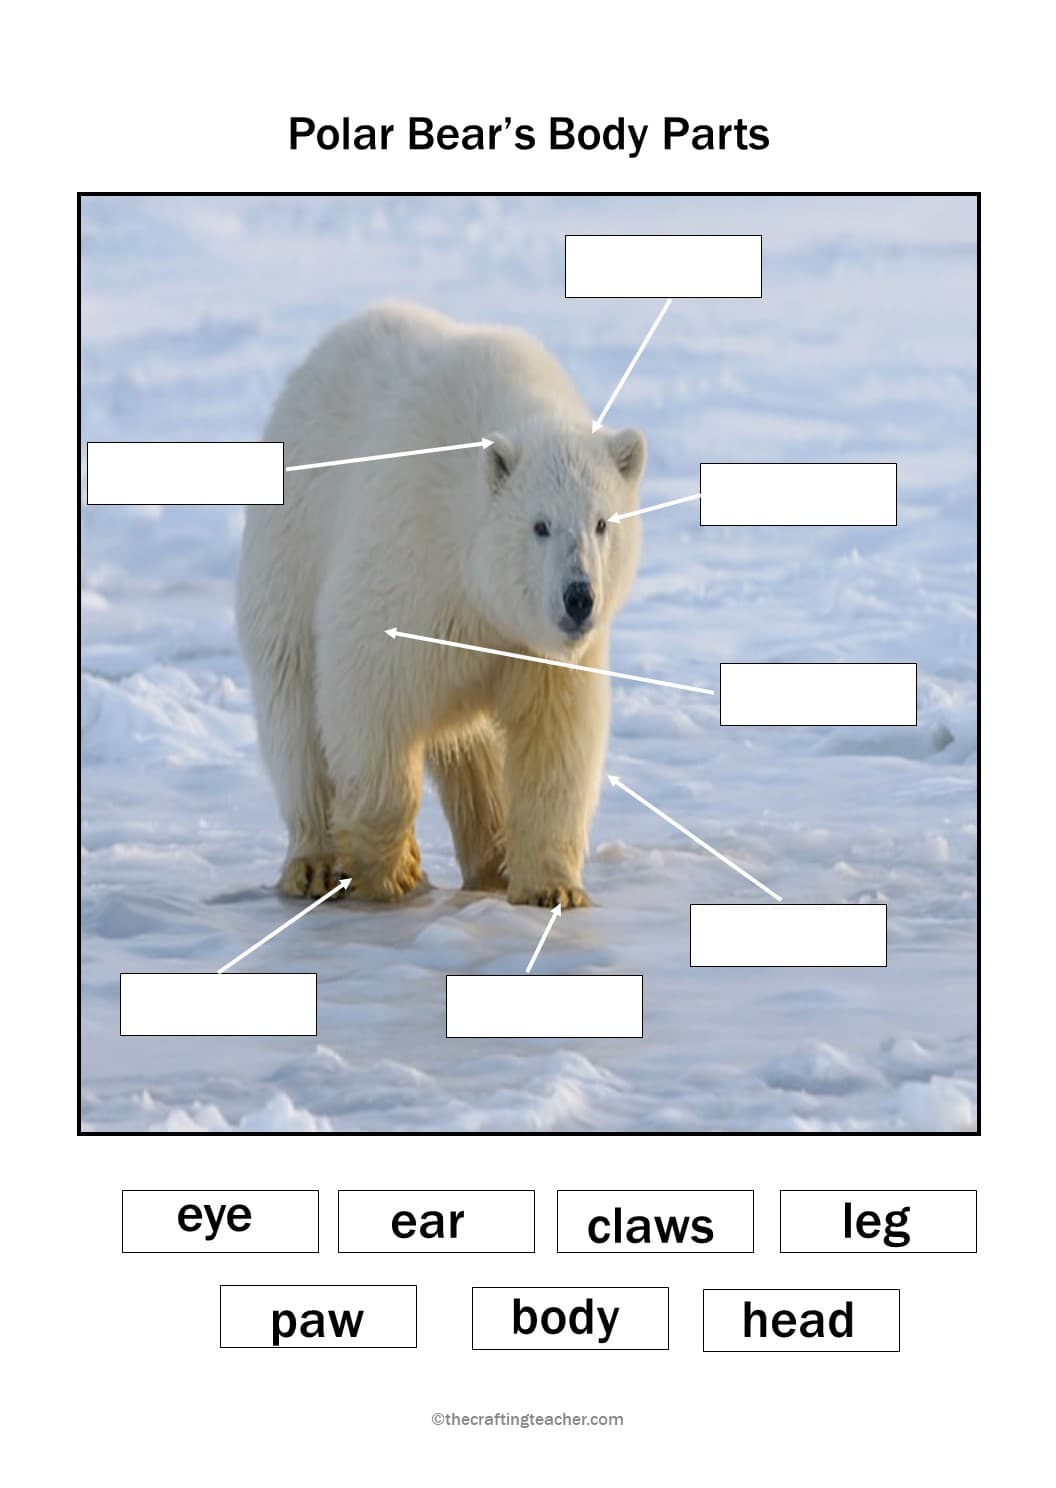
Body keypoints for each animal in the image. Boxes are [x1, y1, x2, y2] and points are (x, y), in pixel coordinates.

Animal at [236, 302, 646, 908]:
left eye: (601, 523)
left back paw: (490, 862)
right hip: (289, 551)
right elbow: (369, 692)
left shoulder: (539, 648)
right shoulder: (410, 556)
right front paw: (395, 871)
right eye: (540, 525)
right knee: (294, 709)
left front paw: (552, 889)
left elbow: (553, 742)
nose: (579, 597)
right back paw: (312, 864)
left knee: (471, 751)